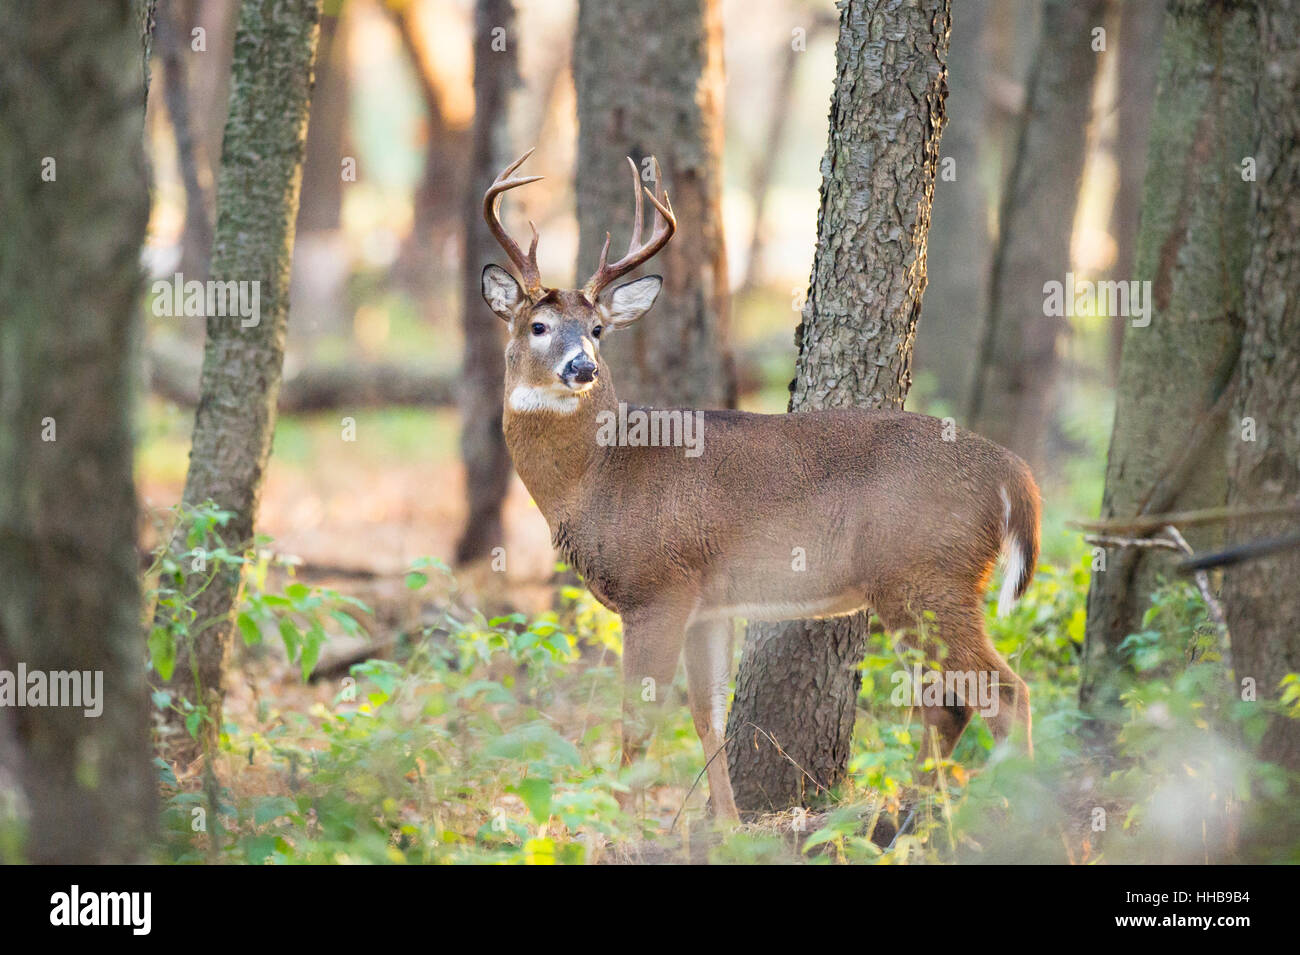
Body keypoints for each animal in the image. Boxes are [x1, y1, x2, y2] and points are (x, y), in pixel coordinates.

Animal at [480, 148, 1040, 823]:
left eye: (597, 329)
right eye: (537, 325)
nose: (582, 368)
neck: (601, 473)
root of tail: (1010, 471)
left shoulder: (657, 588)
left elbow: (638, 721)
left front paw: (624, 822)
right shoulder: (706, 602)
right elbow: (708, 717)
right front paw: (726, 824)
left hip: (928, 576)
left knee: (1002, 693)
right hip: (926, 585)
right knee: (952, 702)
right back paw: (915, 814)